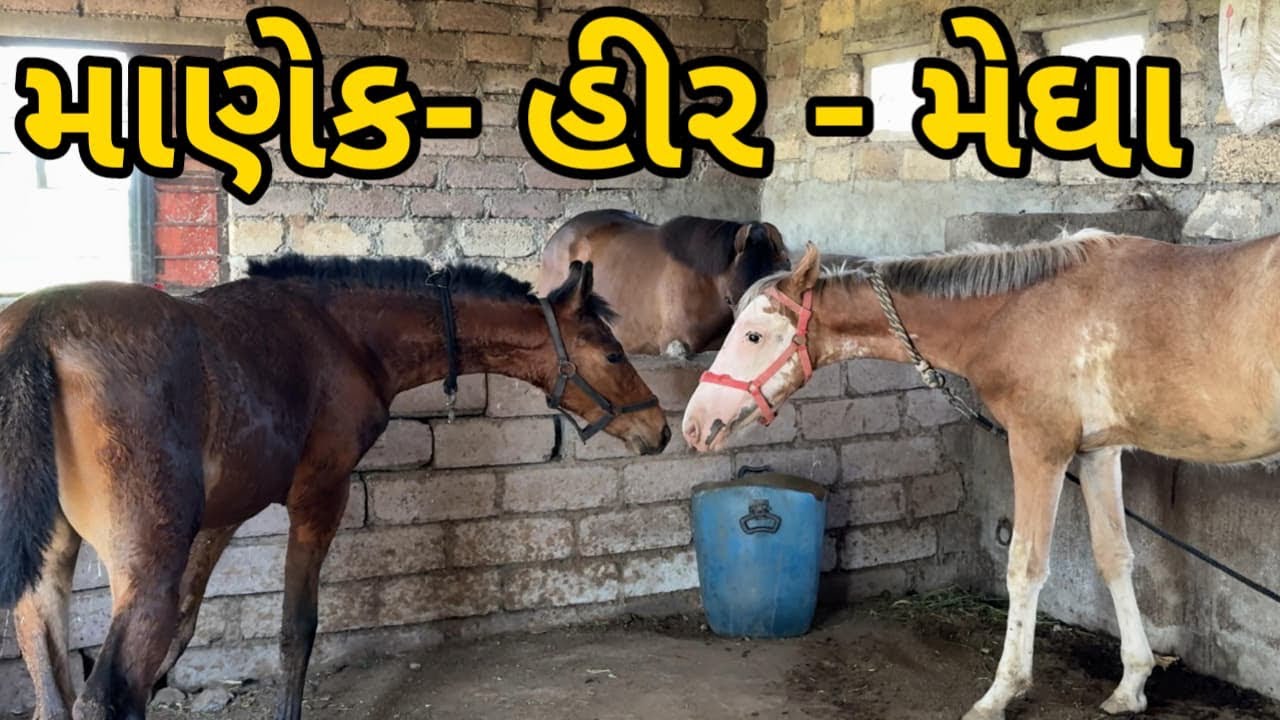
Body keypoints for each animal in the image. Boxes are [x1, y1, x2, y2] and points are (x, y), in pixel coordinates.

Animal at [0, 256, 669, 720]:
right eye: (612, 354)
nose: (659, 430)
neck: (343, 334)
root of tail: (39, 326)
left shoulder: (221, 517)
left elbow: (186, 629)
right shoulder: (320, 498)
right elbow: (297, 630)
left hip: (47, 574)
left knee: (55, 693)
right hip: (142, 567)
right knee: (101, 696)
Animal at [682, 234, 1280, 719]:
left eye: (754, 336)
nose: (695, 424)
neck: (1015, 313)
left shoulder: (1039, 447)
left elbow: (1025, 567)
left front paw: (1000, 693)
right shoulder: (1098, 453)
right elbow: (1114, 557)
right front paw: (1130, 686)